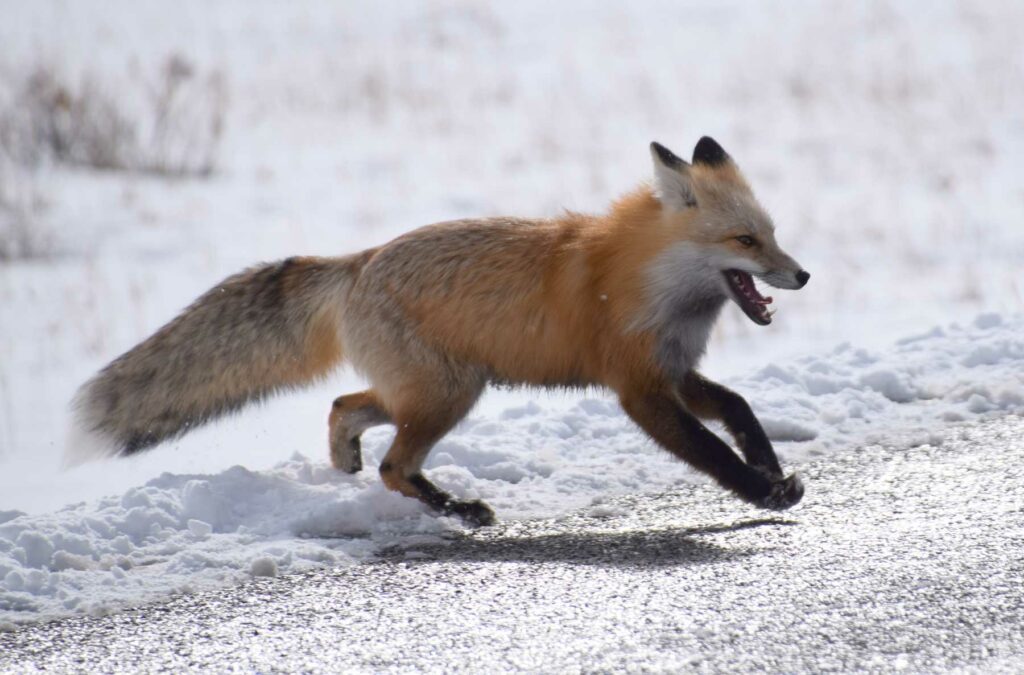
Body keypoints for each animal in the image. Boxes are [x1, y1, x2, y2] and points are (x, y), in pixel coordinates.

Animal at [71, 137, 810, 526]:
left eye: (774, 234)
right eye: (745, 241)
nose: (802, 274)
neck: (650, 284)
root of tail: (360, 262)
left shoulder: (673, 369)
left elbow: (740, 410)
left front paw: (771, 469)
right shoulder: (639, 388)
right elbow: (710, 452)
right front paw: (764, 492)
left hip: (430, 389)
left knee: (346, 407)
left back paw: (350, 461)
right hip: (450, 394)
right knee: (394, 465)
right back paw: (457, 507)